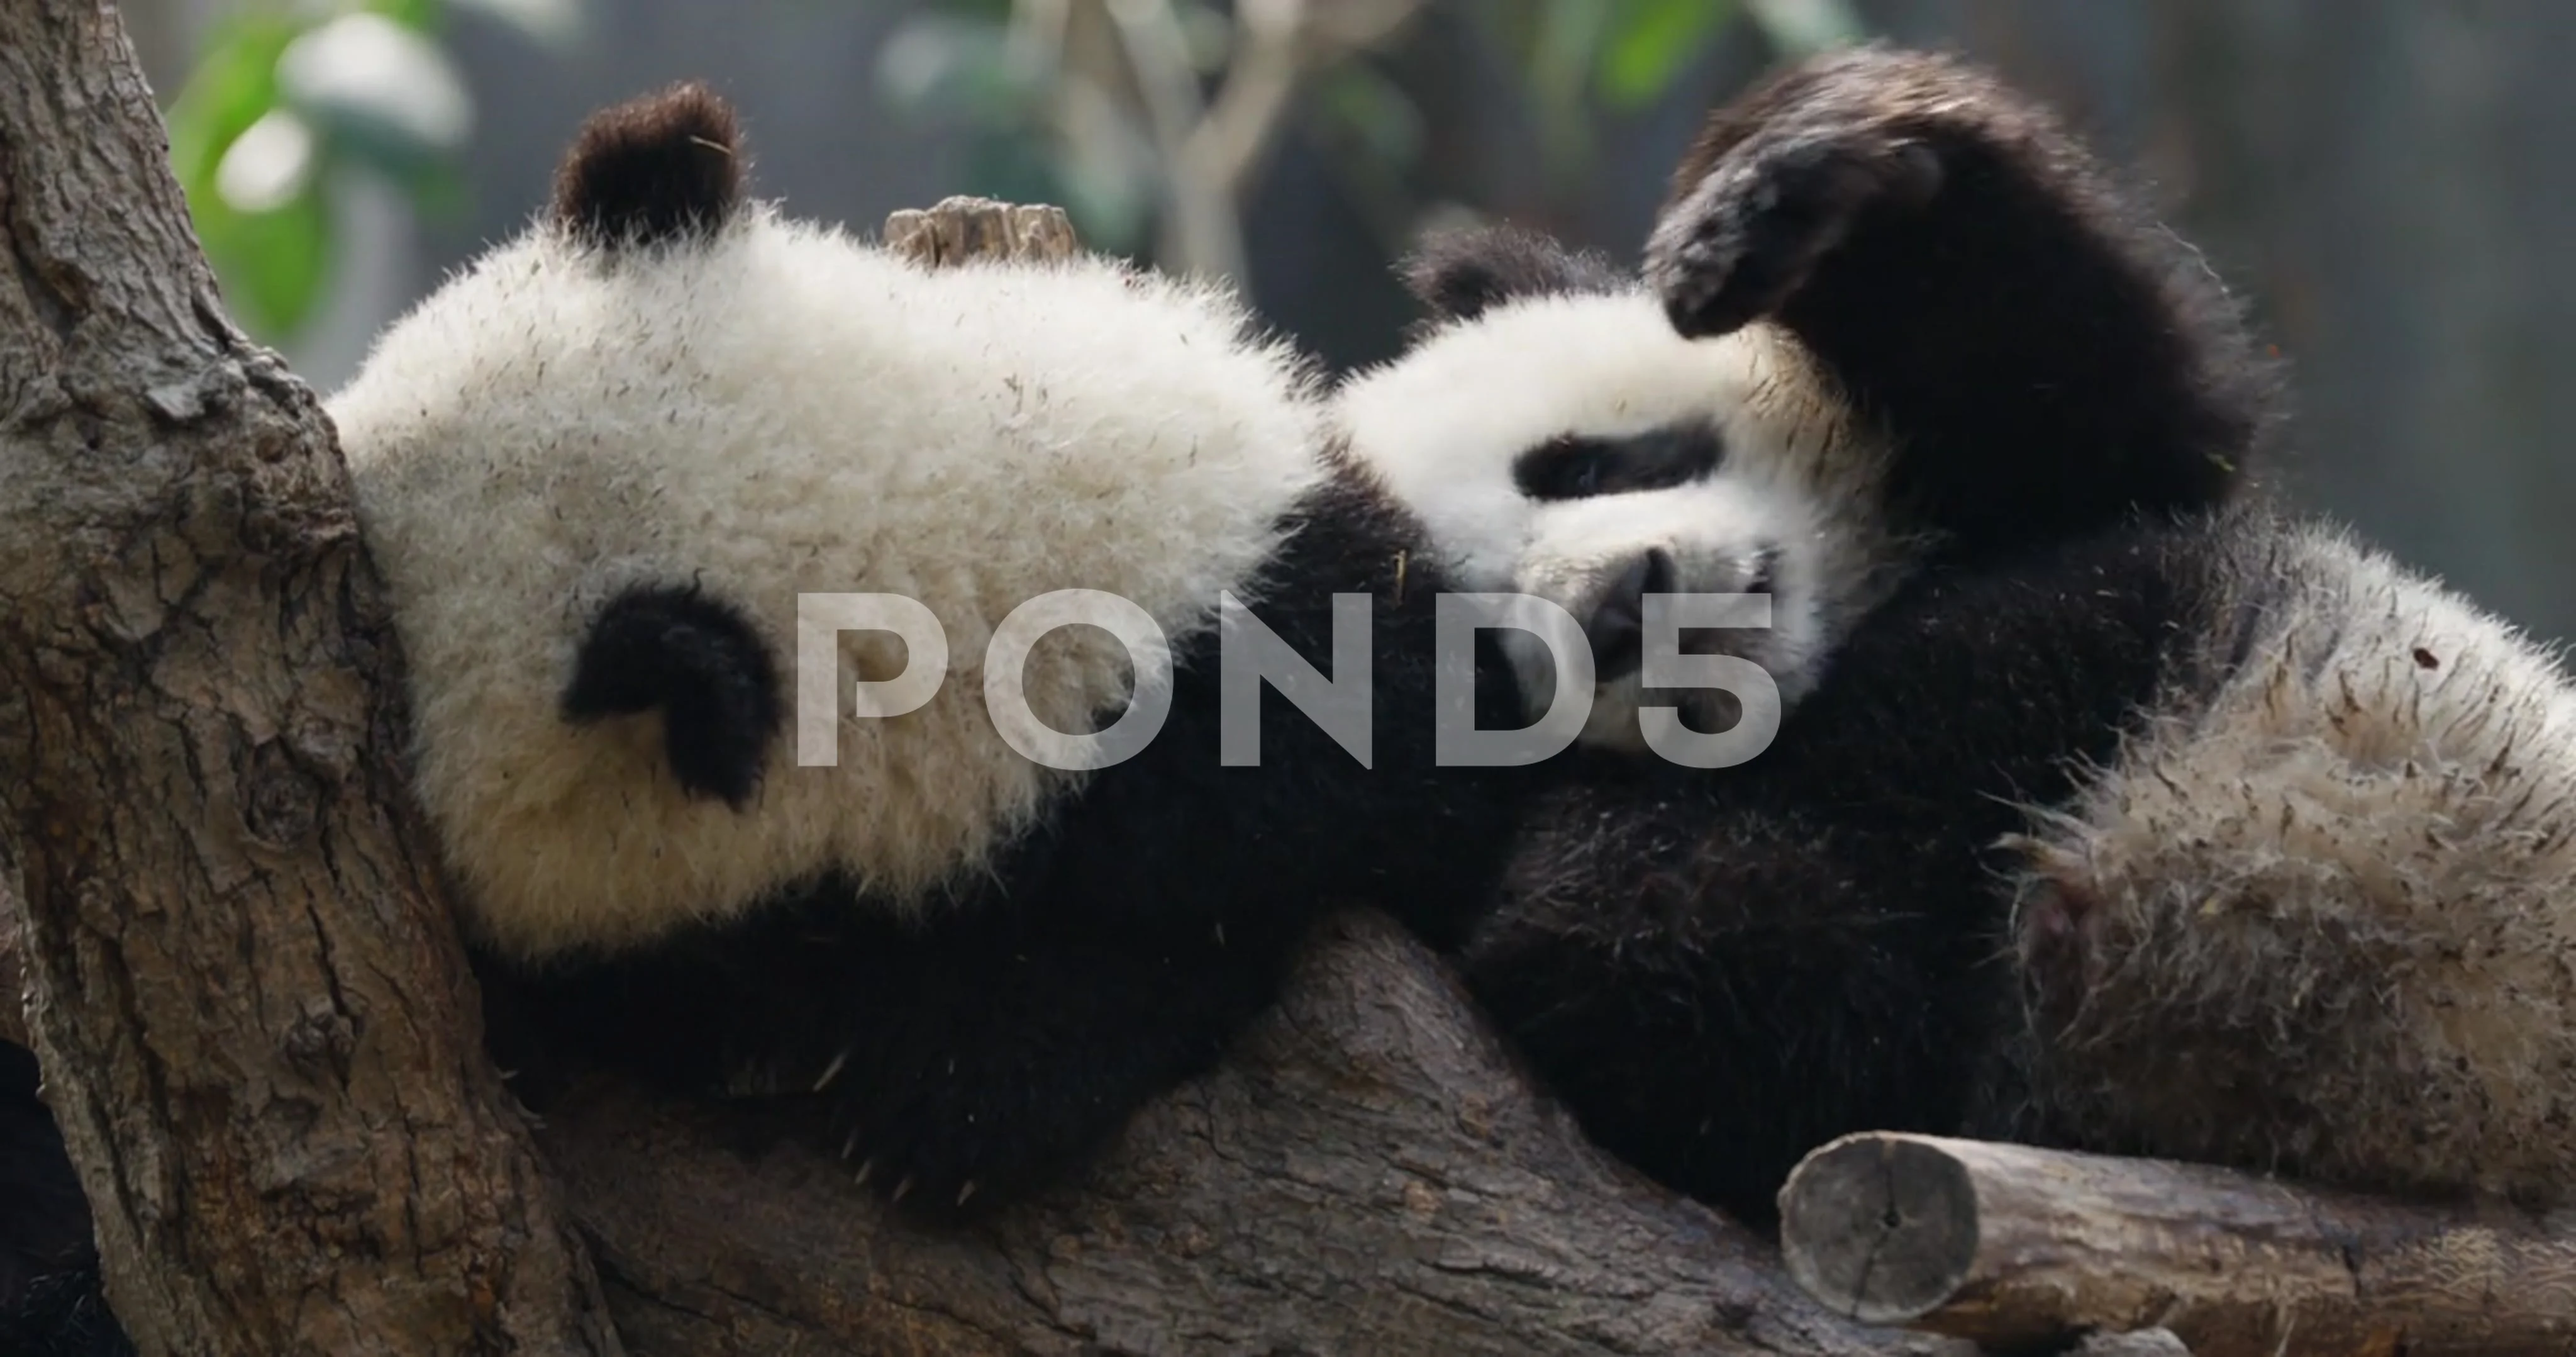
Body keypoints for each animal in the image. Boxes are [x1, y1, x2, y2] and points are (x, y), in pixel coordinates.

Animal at [1353, 45, 2576, 1231]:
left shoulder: (2063, 477)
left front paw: (1803, 180)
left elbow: (2109, 396)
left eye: (1580, 465)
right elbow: (1723, 999)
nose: (1618, 606)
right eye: (1487, 659)